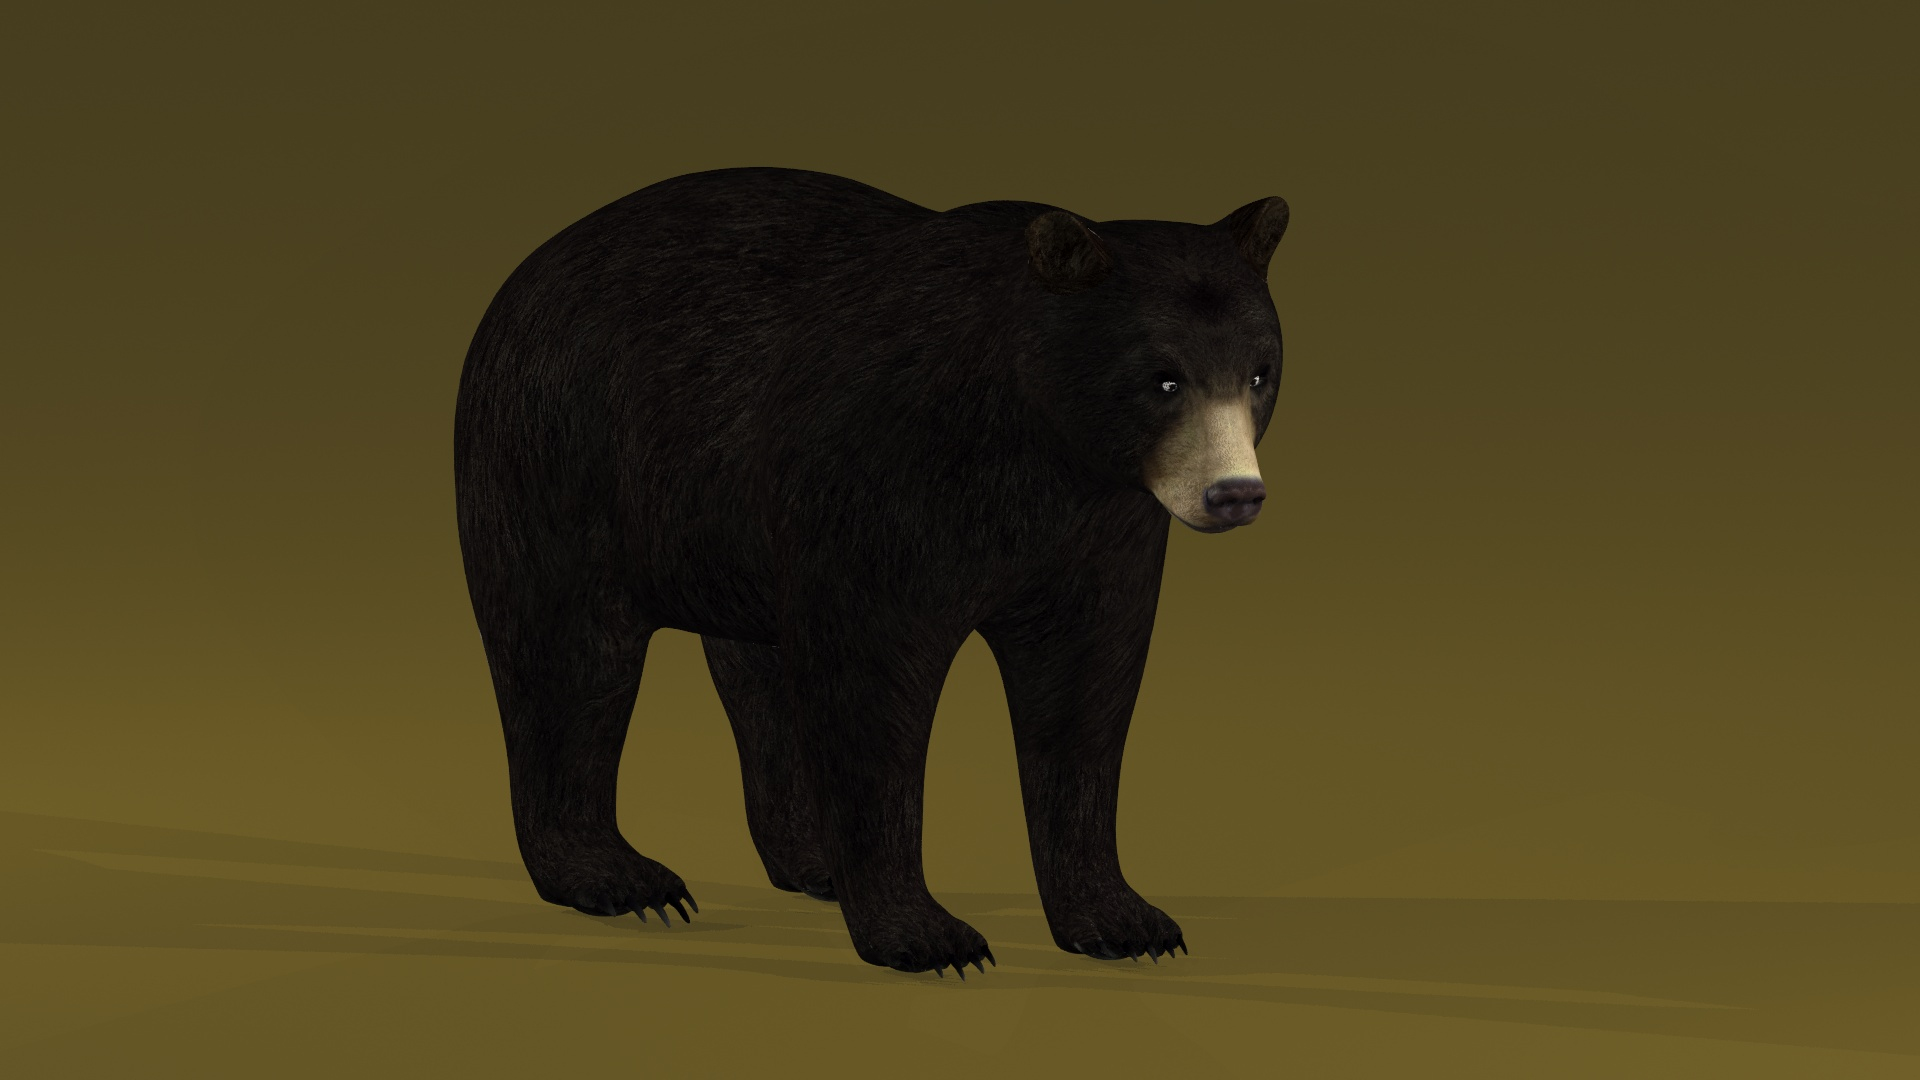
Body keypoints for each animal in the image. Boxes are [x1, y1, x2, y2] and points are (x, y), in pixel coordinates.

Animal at [454, 167, 1289, 978]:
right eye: (1164, 379)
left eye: (1259, 374)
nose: (1234, 494)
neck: (1033, 440)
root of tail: (518, 280)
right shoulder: (880, 482)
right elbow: (870, 687)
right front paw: (926, 934)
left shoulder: (1098, 527)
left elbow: (1085, 688)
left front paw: (1123, 917)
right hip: (562, 456)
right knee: (571, 655)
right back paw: (620, 876)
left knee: (758, 681)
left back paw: (808, 860)